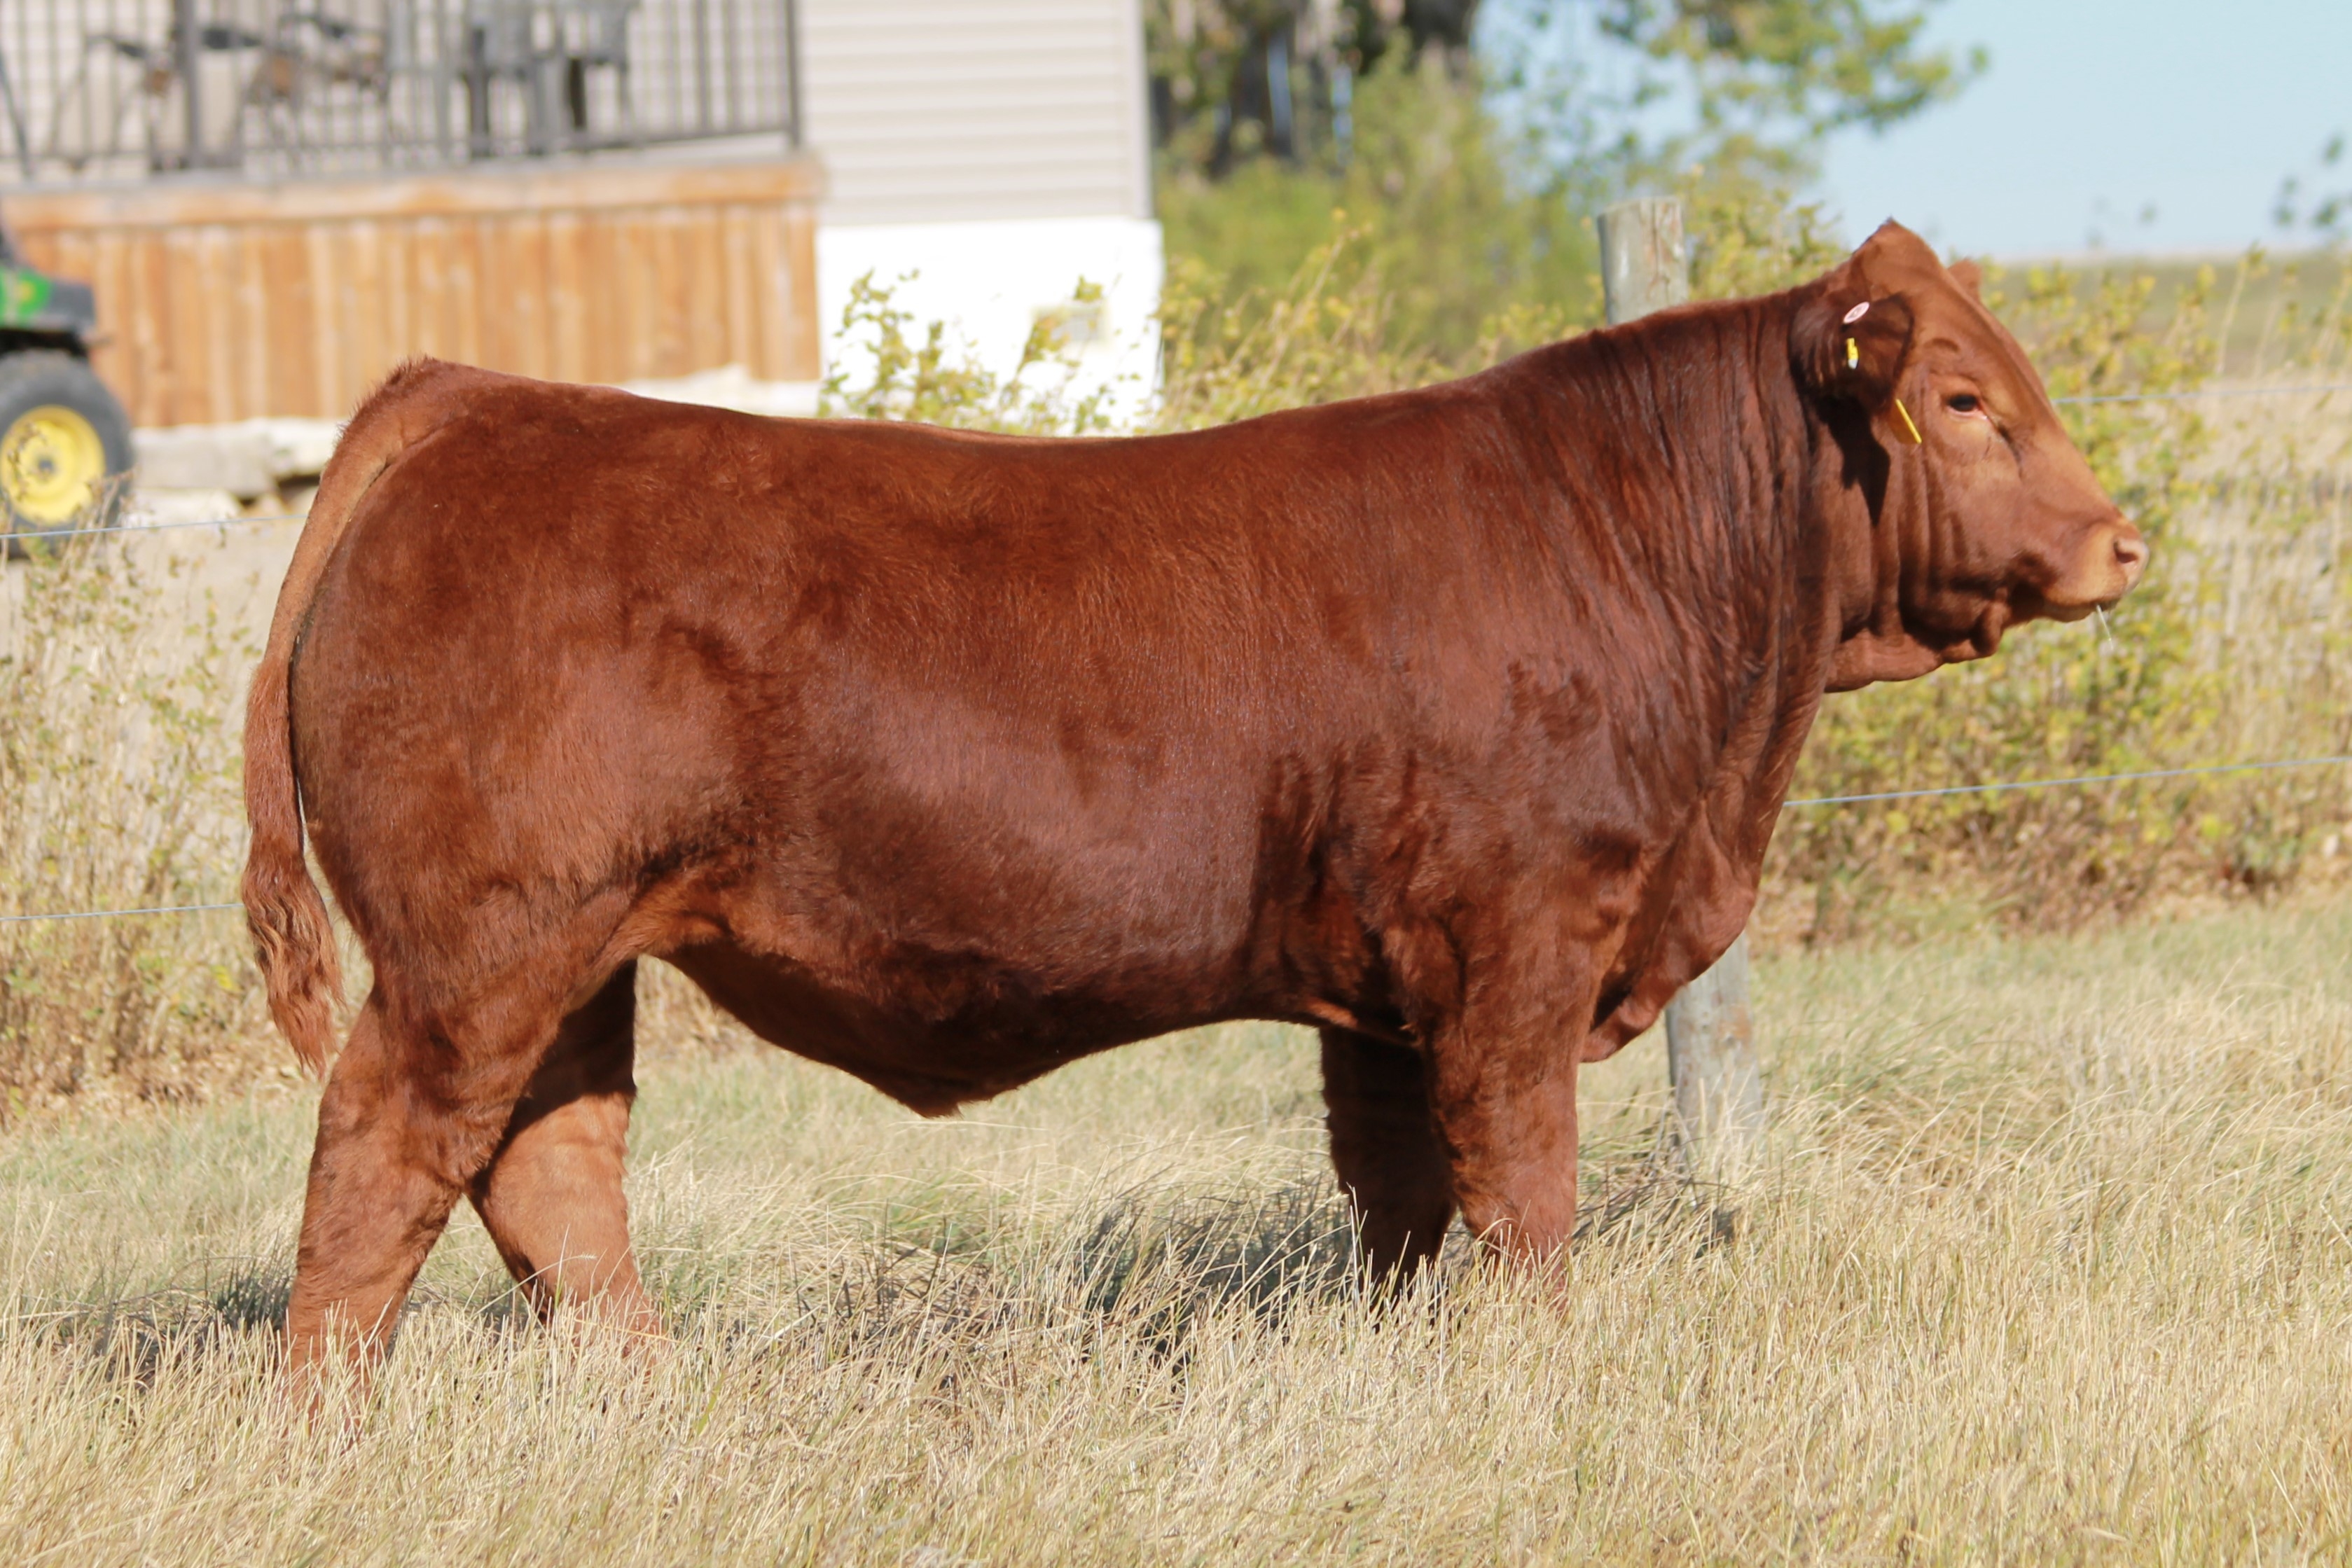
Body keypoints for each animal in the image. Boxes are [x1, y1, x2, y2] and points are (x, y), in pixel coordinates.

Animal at [243, 221, 2145, 1374]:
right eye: (1961, 399)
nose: (2119, 539)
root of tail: (470, 399)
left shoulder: (1392, 992)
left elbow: (1401, 1196)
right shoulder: (1517, 947)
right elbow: (1522, 1193)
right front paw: (1542, 1366)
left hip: (575, 951)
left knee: (549, 1172)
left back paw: (652, 1391)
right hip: (478, 945)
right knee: (380, 1162)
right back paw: (325, 1421)